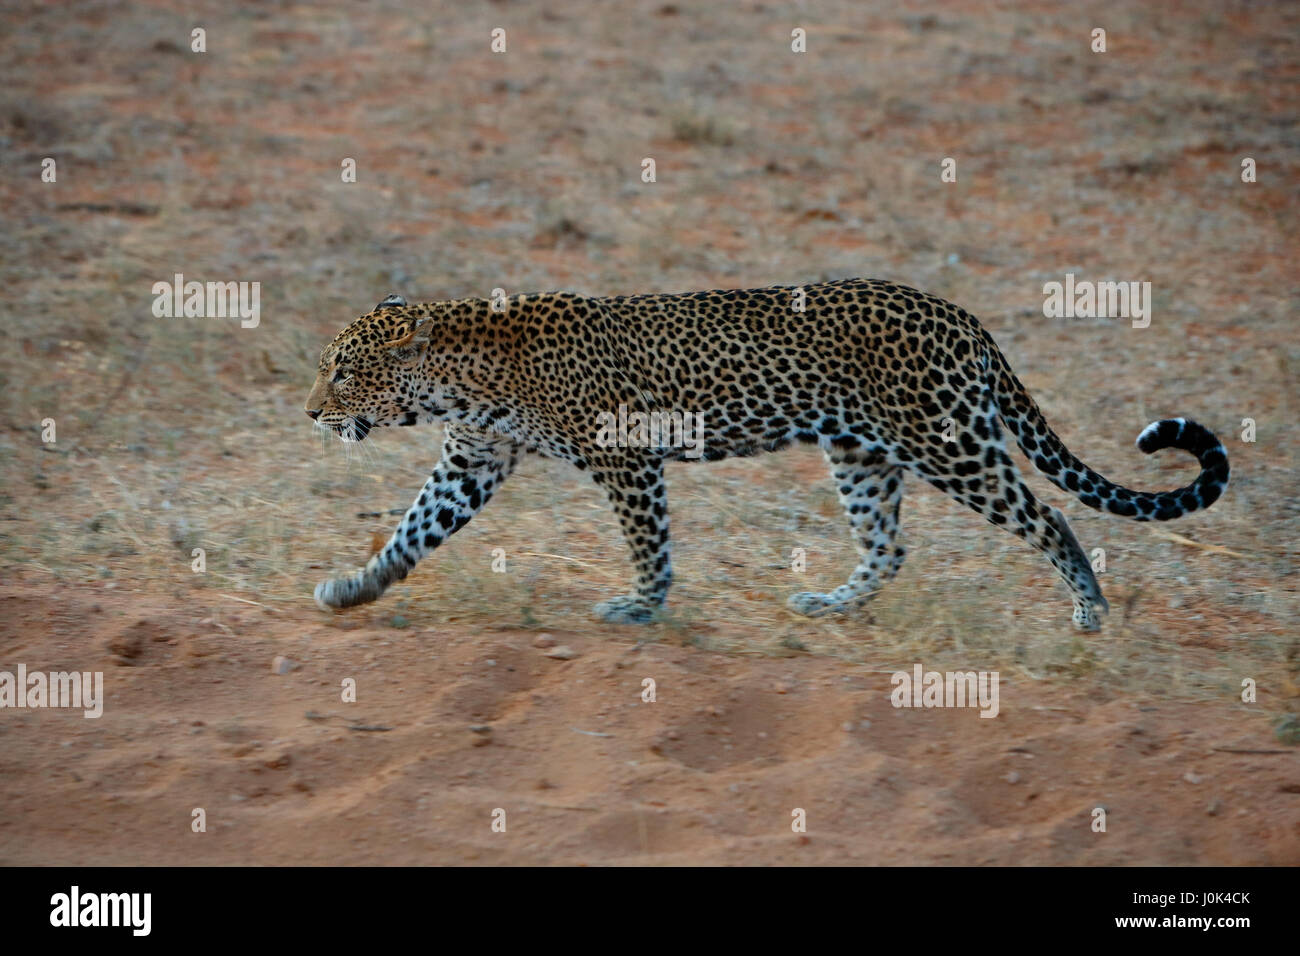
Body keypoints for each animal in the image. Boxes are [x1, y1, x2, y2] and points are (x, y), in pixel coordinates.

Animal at [304, 279, 1229, 631]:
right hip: (862, 454)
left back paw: (1090, 610)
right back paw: (831, 604)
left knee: (1048, 515)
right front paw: (356, 588)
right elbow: (412, 530)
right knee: (889, 546)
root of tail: (959, 313)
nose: (310, 412)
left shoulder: (626, 461)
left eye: (343, 370)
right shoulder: (473, 460)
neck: (457, 375)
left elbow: (649, 545)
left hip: (949, 444)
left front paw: (641, 608)